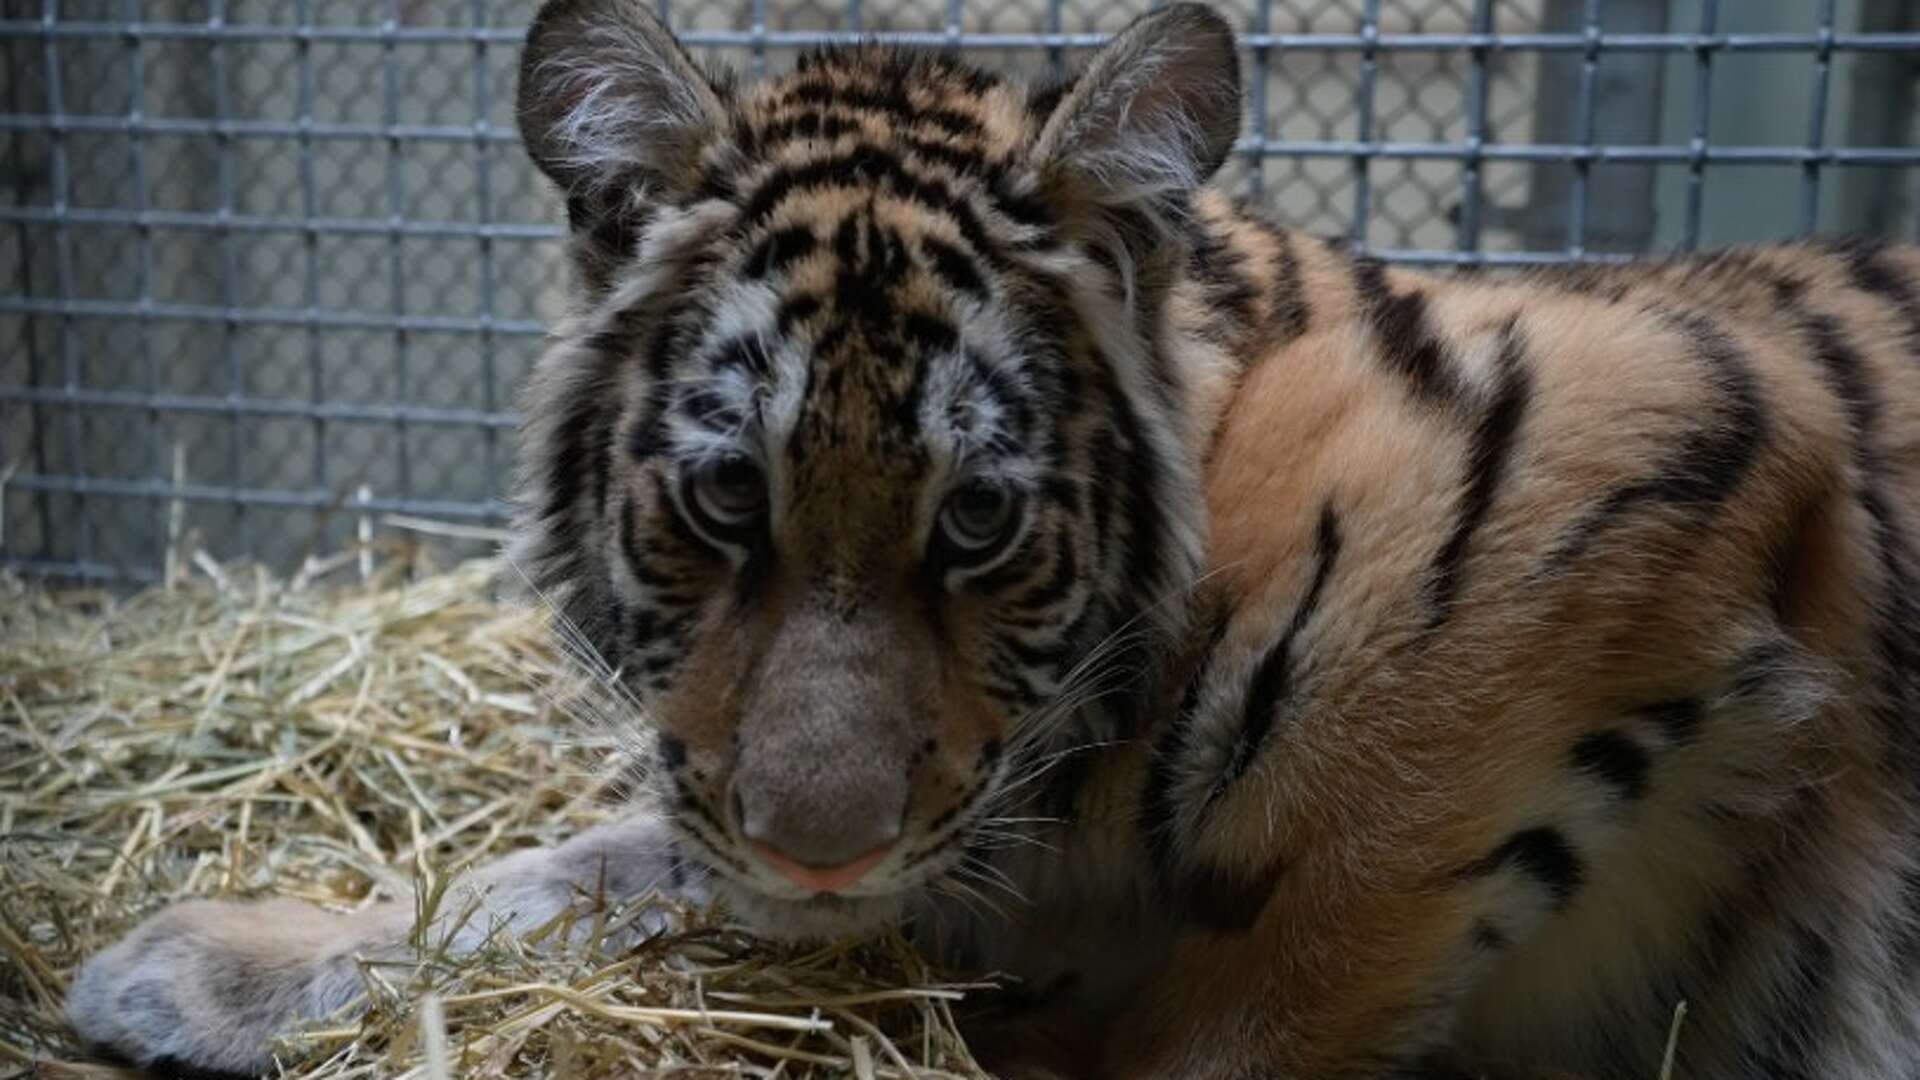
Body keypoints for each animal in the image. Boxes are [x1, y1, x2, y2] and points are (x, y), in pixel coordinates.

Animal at [63, 1, 1920, 1077]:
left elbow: (1267, 980)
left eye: (977, 519)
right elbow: (571, 868)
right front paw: (205, 969)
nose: (823, 853)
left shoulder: (1635, 456)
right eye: (726, 498)